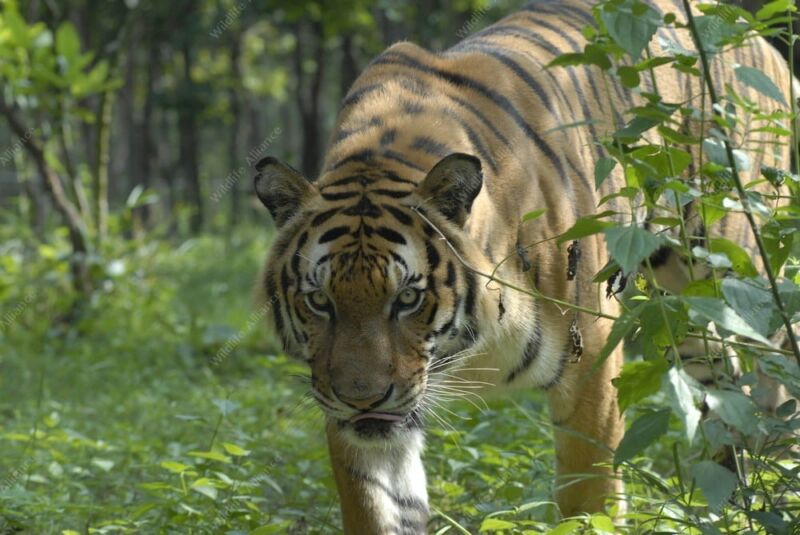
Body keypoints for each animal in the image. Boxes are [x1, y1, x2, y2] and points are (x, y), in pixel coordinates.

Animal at [253, 0, 796, 532]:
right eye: (319, 301)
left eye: (407, 298)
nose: (361, 399)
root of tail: (761, 40)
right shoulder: (353, 410)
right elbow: (377, 505)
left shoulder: (591, 361)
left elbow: (587, 498)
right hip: (688, 322)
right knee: (727, 394)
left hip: (737, 278)